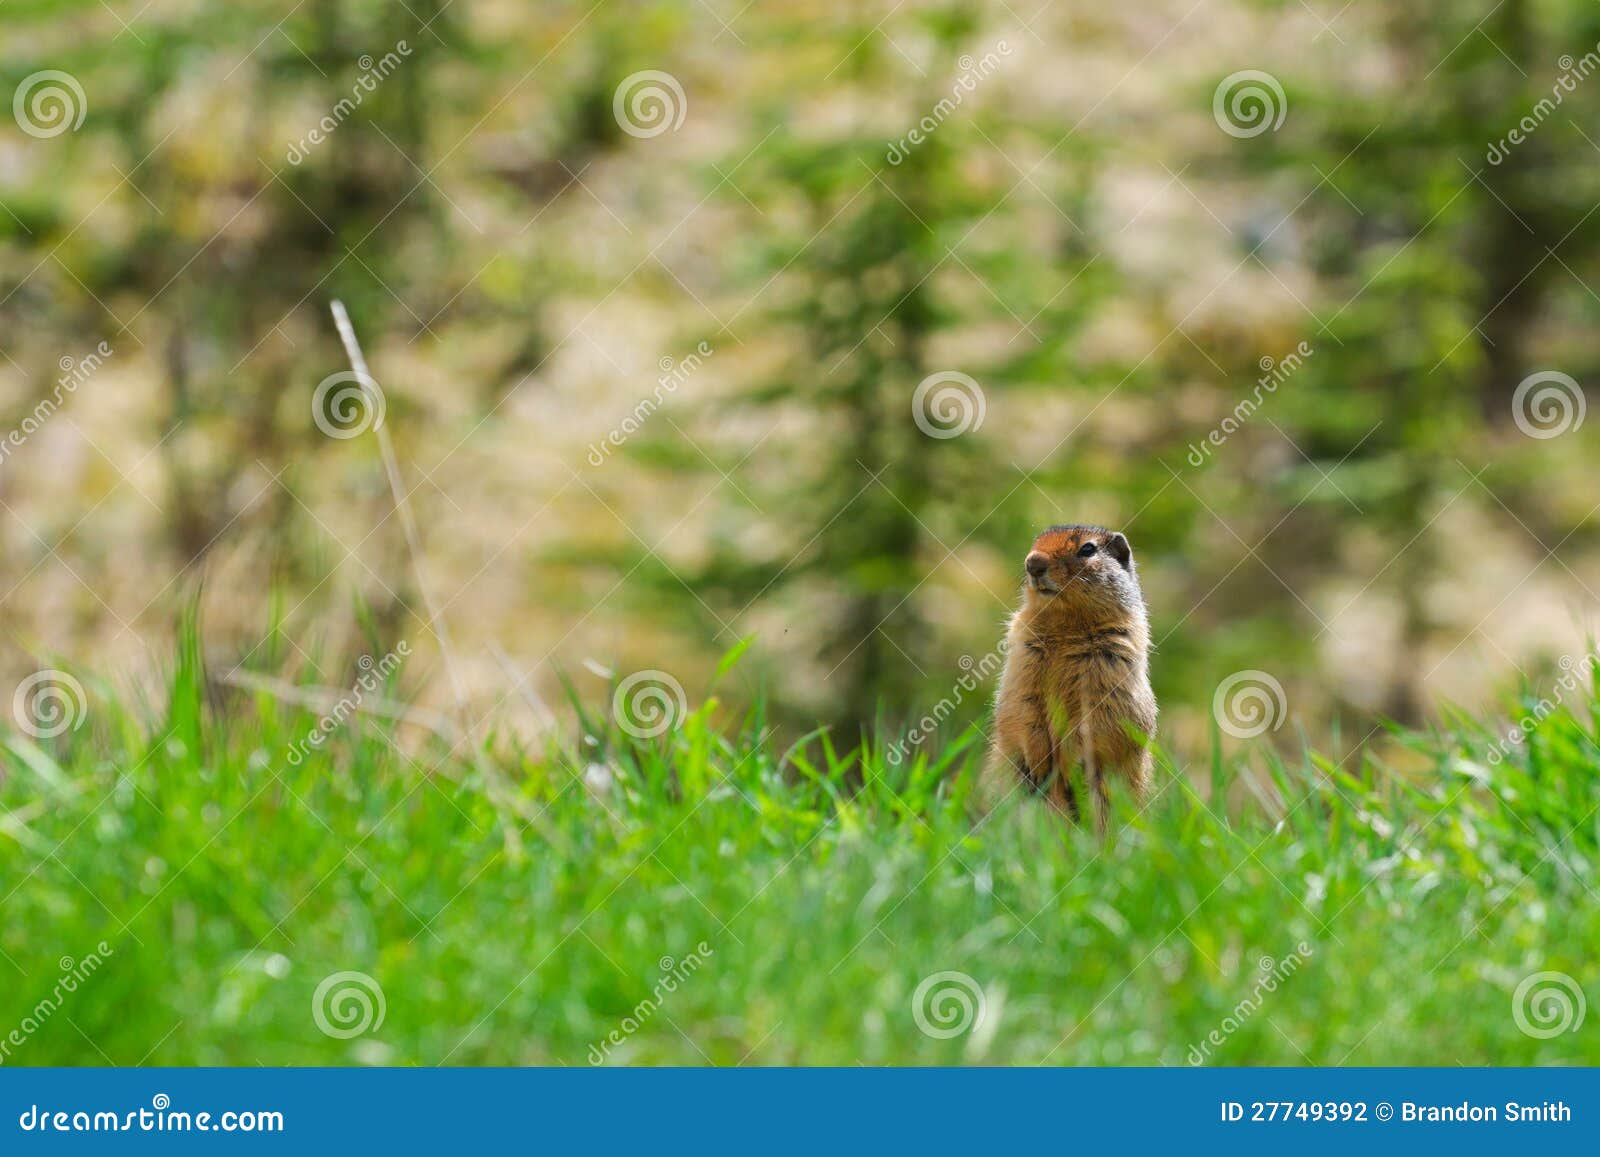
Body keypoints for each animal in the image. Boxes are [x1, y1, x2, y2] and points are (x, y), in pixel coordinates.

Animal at [982, 524, 1156, 832]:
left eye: (1088, 549)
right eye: (1035, 542)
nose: (1033, 563)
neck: (1066, 622)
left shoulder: (1111, 668)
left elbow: (1095, 723)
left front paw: (1070, 765)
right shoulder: (1021, 657)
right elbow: (1022, 706)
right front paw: (1039, 764)